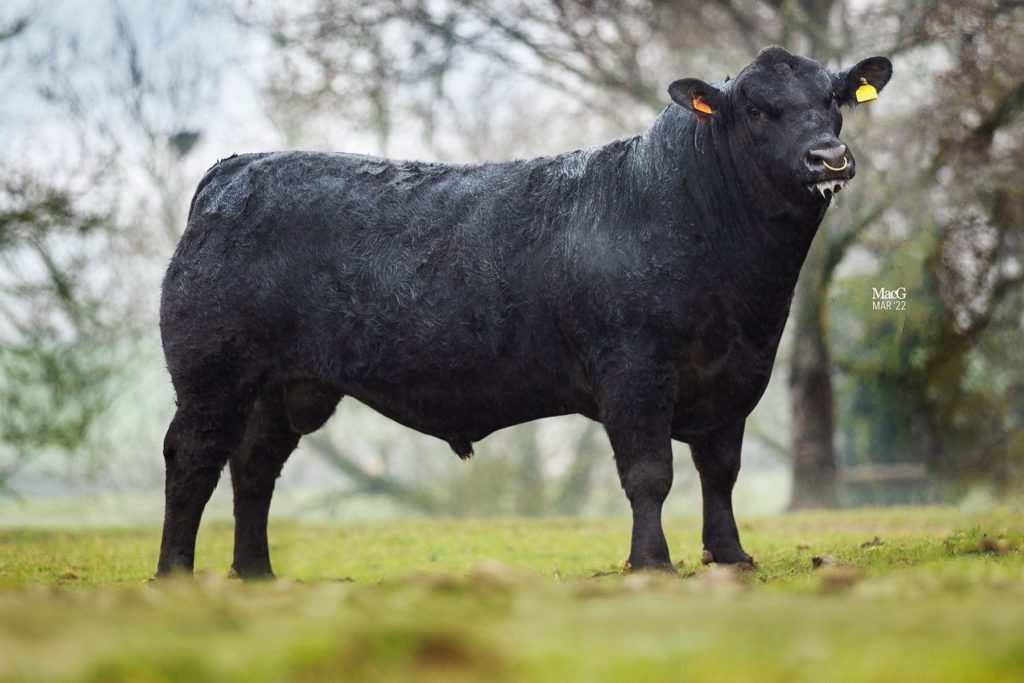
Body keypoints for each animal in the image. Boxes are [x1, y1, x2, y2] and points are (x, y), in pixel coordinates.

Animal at [156, 46, 892, 579]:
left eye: (832, 100)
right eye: (759, 110)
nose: (828, 157)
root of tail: (234, 169)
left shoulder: (735, 373)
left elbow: (721, 469)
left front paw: (731, 556)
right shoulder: (635, 368)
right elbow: (649, 472)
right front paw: (651, 563)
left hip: (283, 385)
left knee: (254, 467)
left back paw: (256, 575)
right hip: (212, 374)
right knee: (191, 458)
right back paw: (175, 575)